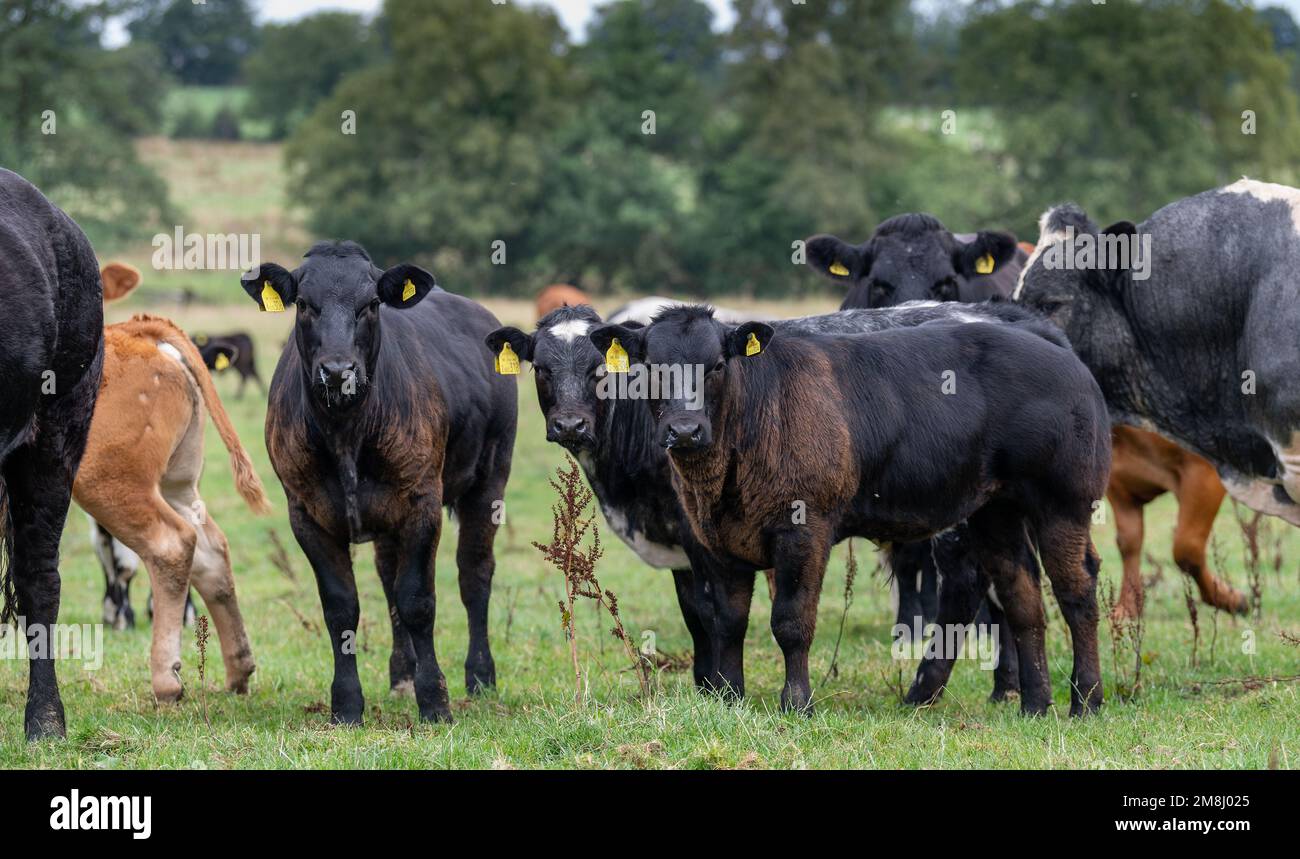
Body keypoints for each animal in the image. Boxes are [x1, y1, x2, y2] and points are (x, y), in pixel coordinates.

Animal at [73, 313, 269, 701]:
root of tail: (133, 329)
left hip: (109, 483)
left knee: (171, 545)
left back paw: (166, 680)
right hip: (176, 485)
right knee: (211, 551)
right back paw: (238, 670)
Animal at [246, 240, 517, 724]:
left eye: (371, 304)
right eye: (304, 304)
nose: (338, 370)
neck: (346, 432)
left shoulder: (422, 503)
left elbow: (418, 601)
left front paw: (435, 701)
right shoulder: (306, 513)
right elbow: (342, 607)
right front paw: (346, 705)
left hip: (489, 481)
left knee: (474, 574)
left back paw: (481, 675)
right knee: (389, 577)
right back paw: (401, 674)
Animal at [487, 301, 1053, 696]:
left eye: (598, 371)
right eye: (541, 369)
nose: (570, 425)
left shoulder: (701, 537)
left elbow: (715, 615)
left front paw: (714, 687)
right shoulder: (689, 543)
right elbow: (700, 617)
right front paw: (710, 686)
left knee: (966, 584)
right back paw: (1006, 689)